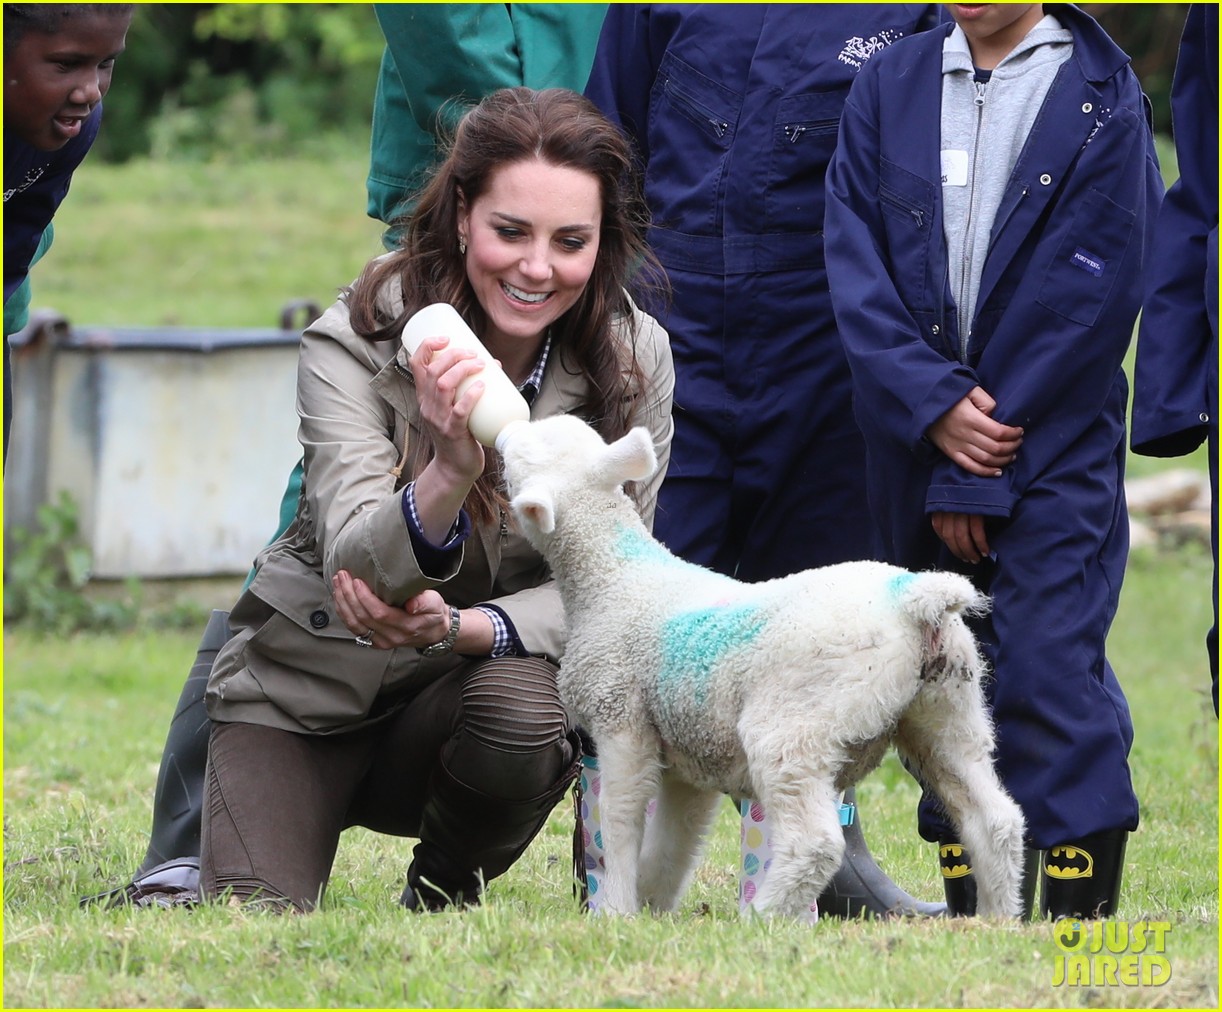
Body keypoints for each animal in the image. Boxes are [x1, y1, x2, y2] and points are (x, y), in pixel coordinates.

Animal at [499, 414, 1026, 919]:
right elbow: (676, 838)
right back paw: (996, 918)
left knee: (817, 842)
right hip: (947, 709)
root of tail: (914, 600)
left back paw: (762, 915)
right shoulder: (688, 747)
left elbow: (621, 817)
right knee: (995, 819)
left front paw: (616, 911)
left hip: (796, 725)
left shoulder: (621, 719)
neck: (617, 575)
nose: (501, 435)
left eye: (516, 458)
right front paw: (651, 905)